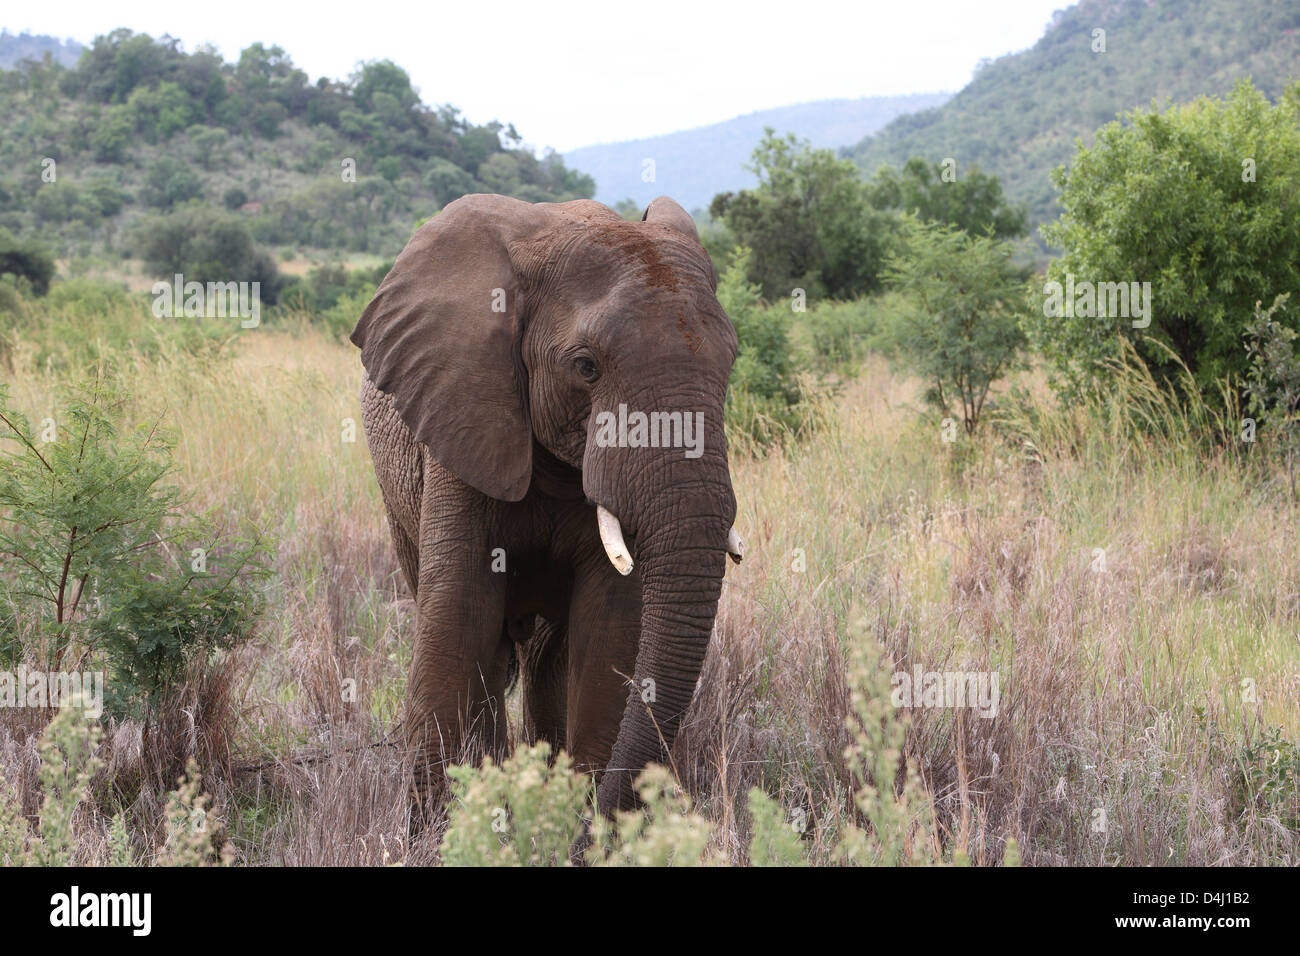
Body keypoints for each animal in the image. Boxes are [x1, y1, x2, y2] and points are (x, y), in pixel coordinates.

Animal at [350, 193, 743, 819]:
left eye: (731, 362)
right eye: (585, 367)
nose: (603, 813)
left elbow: (609, 626)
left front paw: (580, 818)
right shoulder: (463, 416)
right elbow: (458, 612)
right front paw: (436, 827)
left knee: (547, 659)